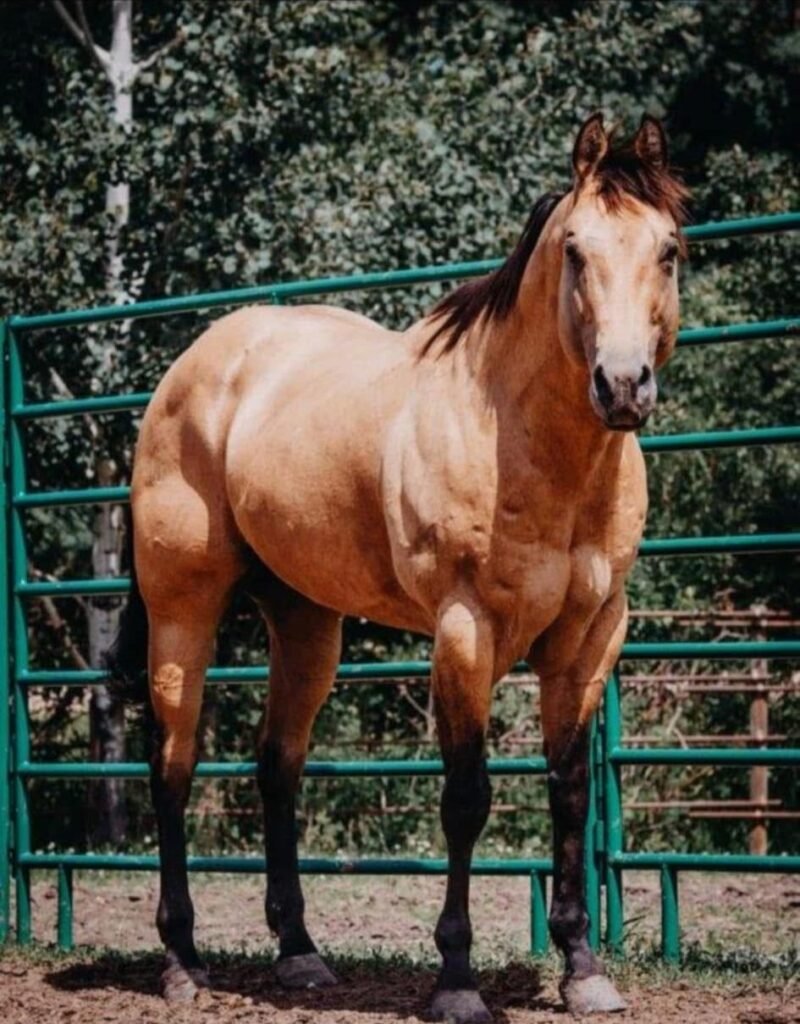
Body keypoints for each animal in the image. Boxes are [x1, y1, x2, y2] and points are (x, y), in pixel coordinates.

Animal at [108, 112, 689, 1020]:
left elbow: (568, 788)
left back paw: (299, 954)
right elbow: (466, 797)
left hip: (305, 622)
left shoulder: (590, 637)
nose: (623, 386)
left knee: (277, 767)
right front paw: (456, 981)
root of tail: (191, 368)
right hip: (182, 612)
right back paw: (181, 963)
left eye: (666, 248)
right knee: (172, 765)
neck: (526, 441)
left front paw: (583, 969)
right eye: (575, 250)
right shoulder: (464, 631)